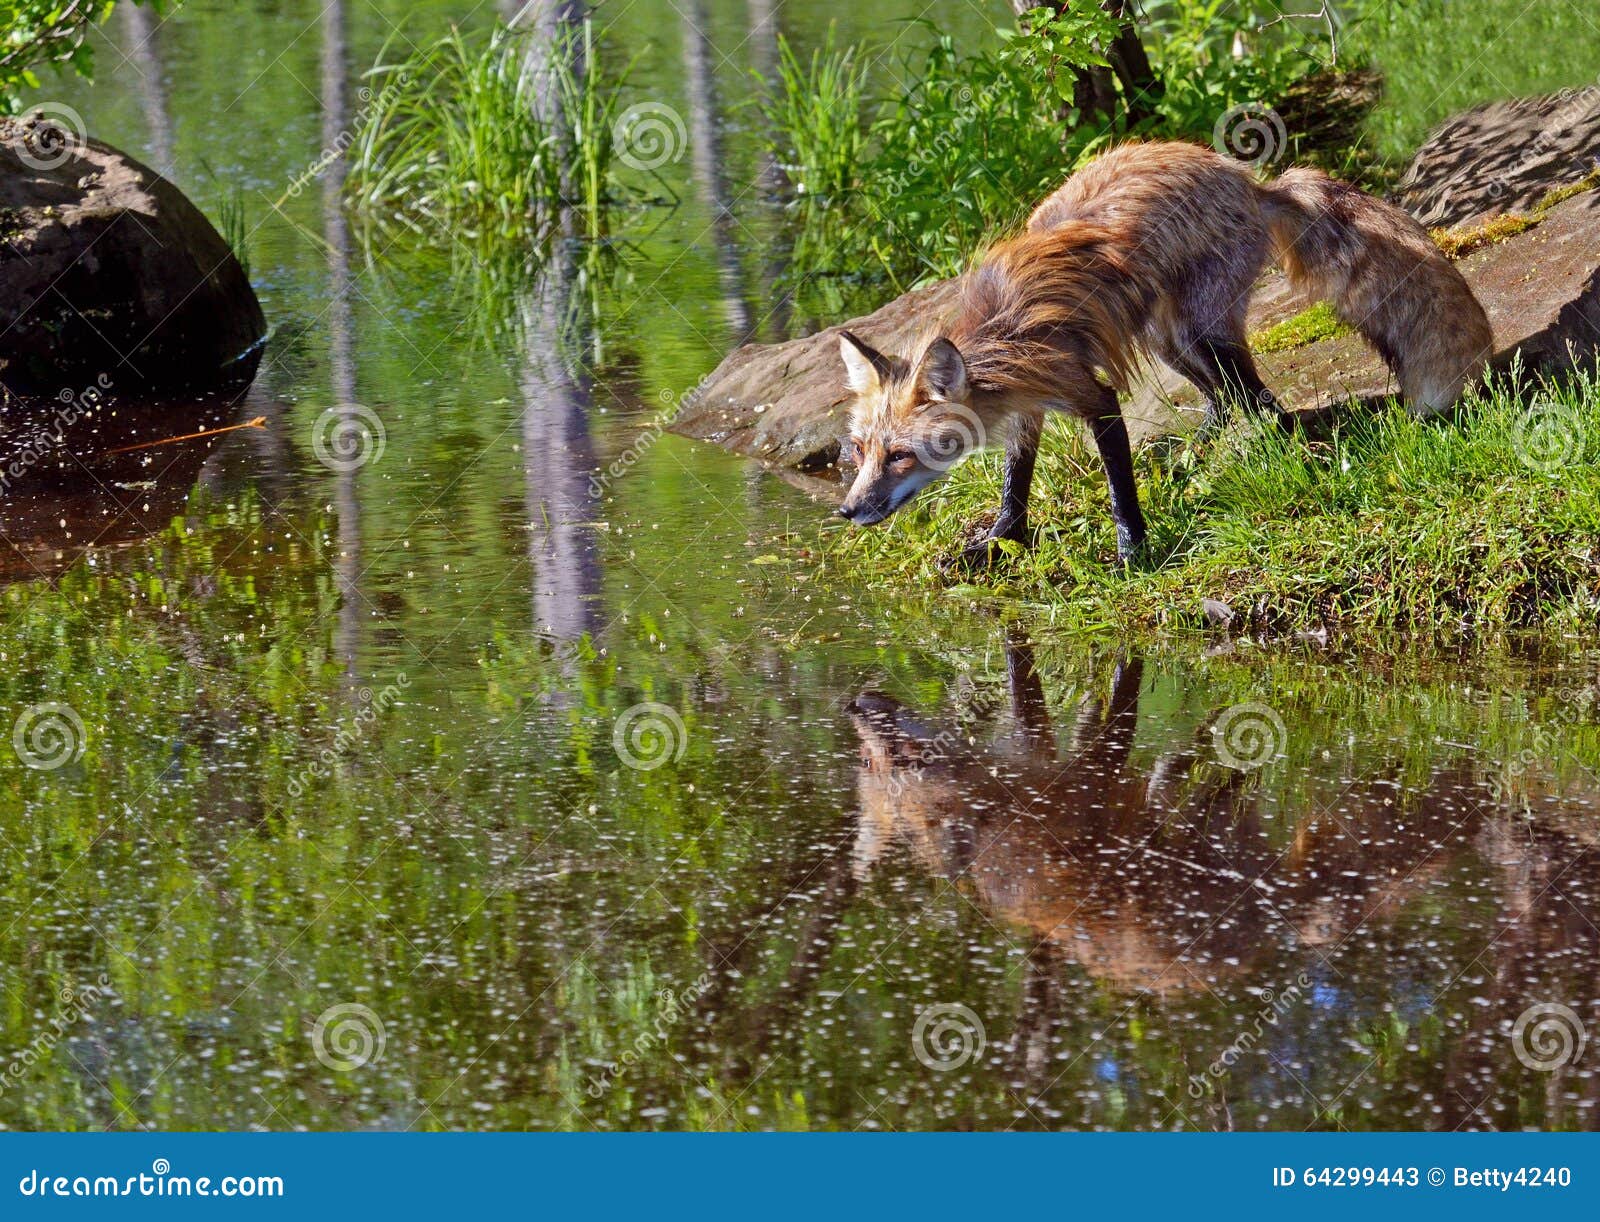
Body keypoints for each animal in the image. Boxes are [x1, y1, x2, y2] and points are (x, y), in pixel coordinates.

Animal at [835, 140, 1494, 565]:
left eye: (901, 456)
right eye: (861, 452)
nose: (847, 511)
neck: (1004, 334)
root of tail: (1251, 180)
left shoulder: (1088, 392)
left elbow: (1118, 486)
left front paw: (1133, 549)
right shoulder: (1029, 406)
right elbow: (1014, 485)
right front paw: (1002, 540)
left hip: (1202, 330)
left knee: (1259, 399)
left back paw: (1284, 452)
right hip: (1167, 339)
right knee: (1224, 401)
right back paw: (1195, 456)